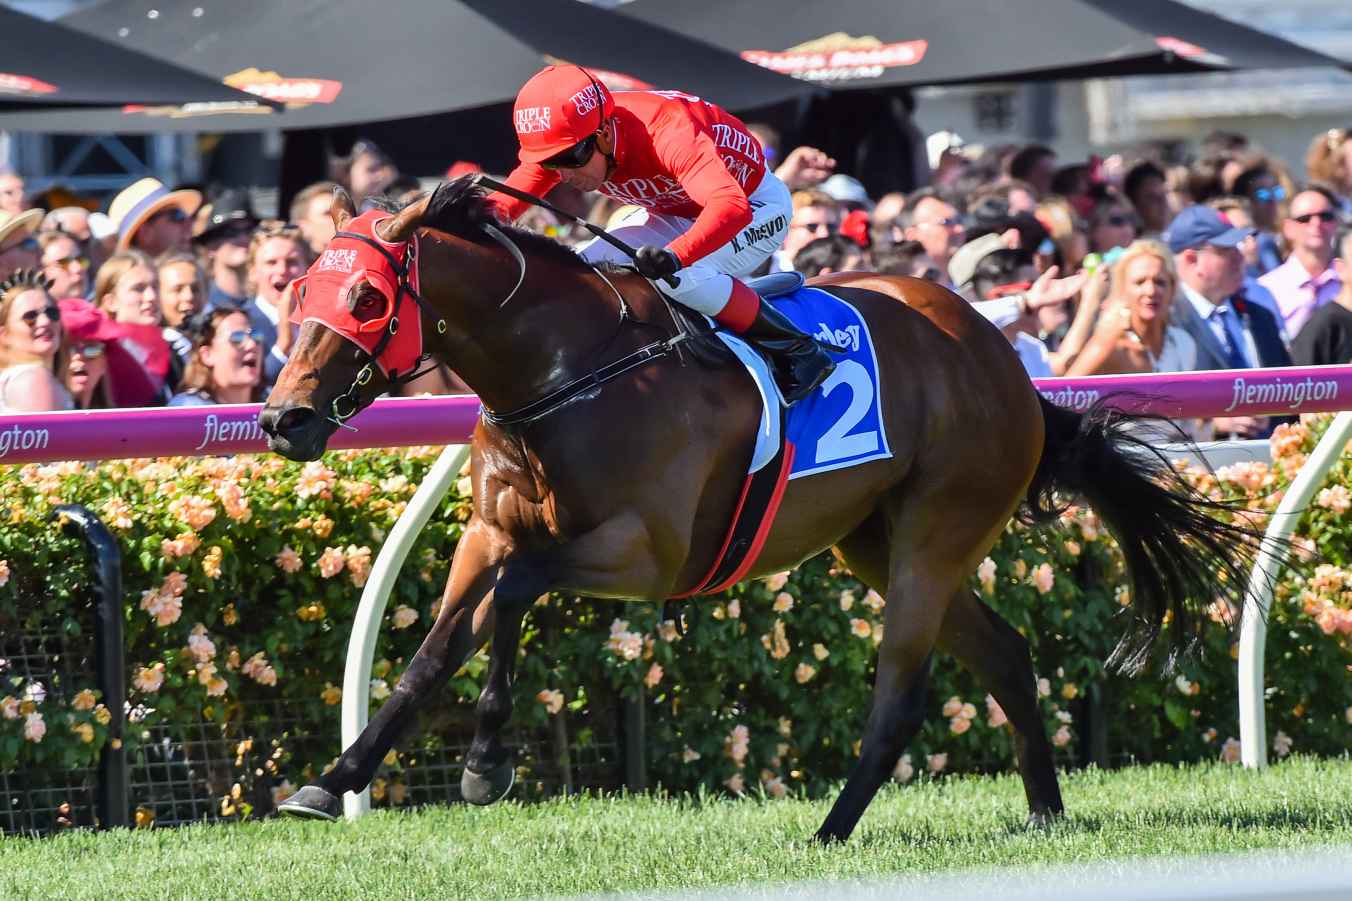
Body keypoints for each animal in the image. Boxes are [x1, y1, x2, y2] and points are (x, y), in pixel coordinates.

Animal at [259, 178, 1262, 842]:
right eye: (297, 291)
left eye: (366, 296)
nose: (283, 418)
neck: (565, 368)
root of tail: (1005, 360)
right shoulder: (489, 531)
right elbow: (432, 653)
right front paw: (332, 781)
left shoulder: (646, 553)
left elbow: (513, 593)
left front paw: (484, 761)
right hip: (873, 539)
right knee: (1008, 655)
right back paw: (1047, 812)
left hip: (937, 531)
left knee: (902, 695)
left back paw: (830, 829)